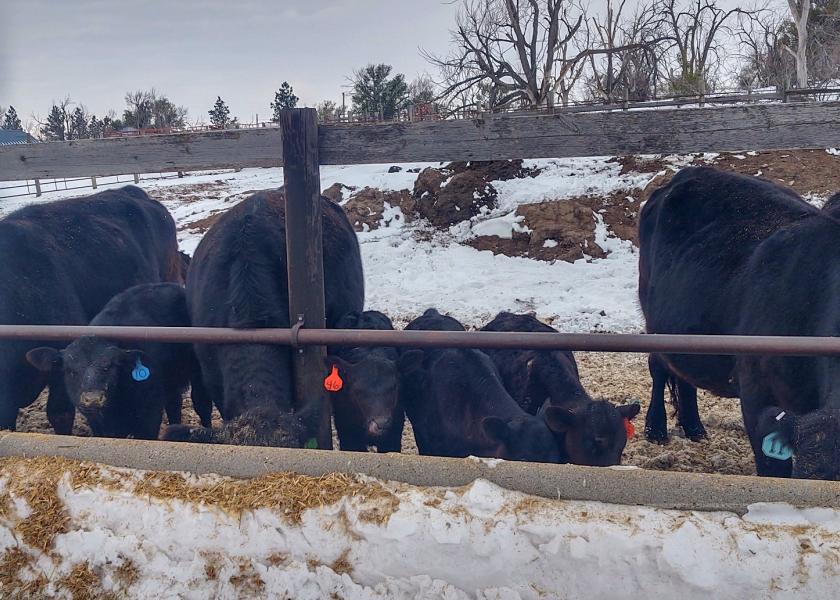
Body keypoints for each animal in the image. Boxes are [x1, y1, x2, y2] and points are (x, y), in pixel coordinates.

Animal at [26, 283, 211, 439]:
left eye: (109, 366)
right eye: (70, 370)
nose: (93, 399)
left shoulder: (150, 414)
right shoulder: (98, 424)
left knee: (202, 403)